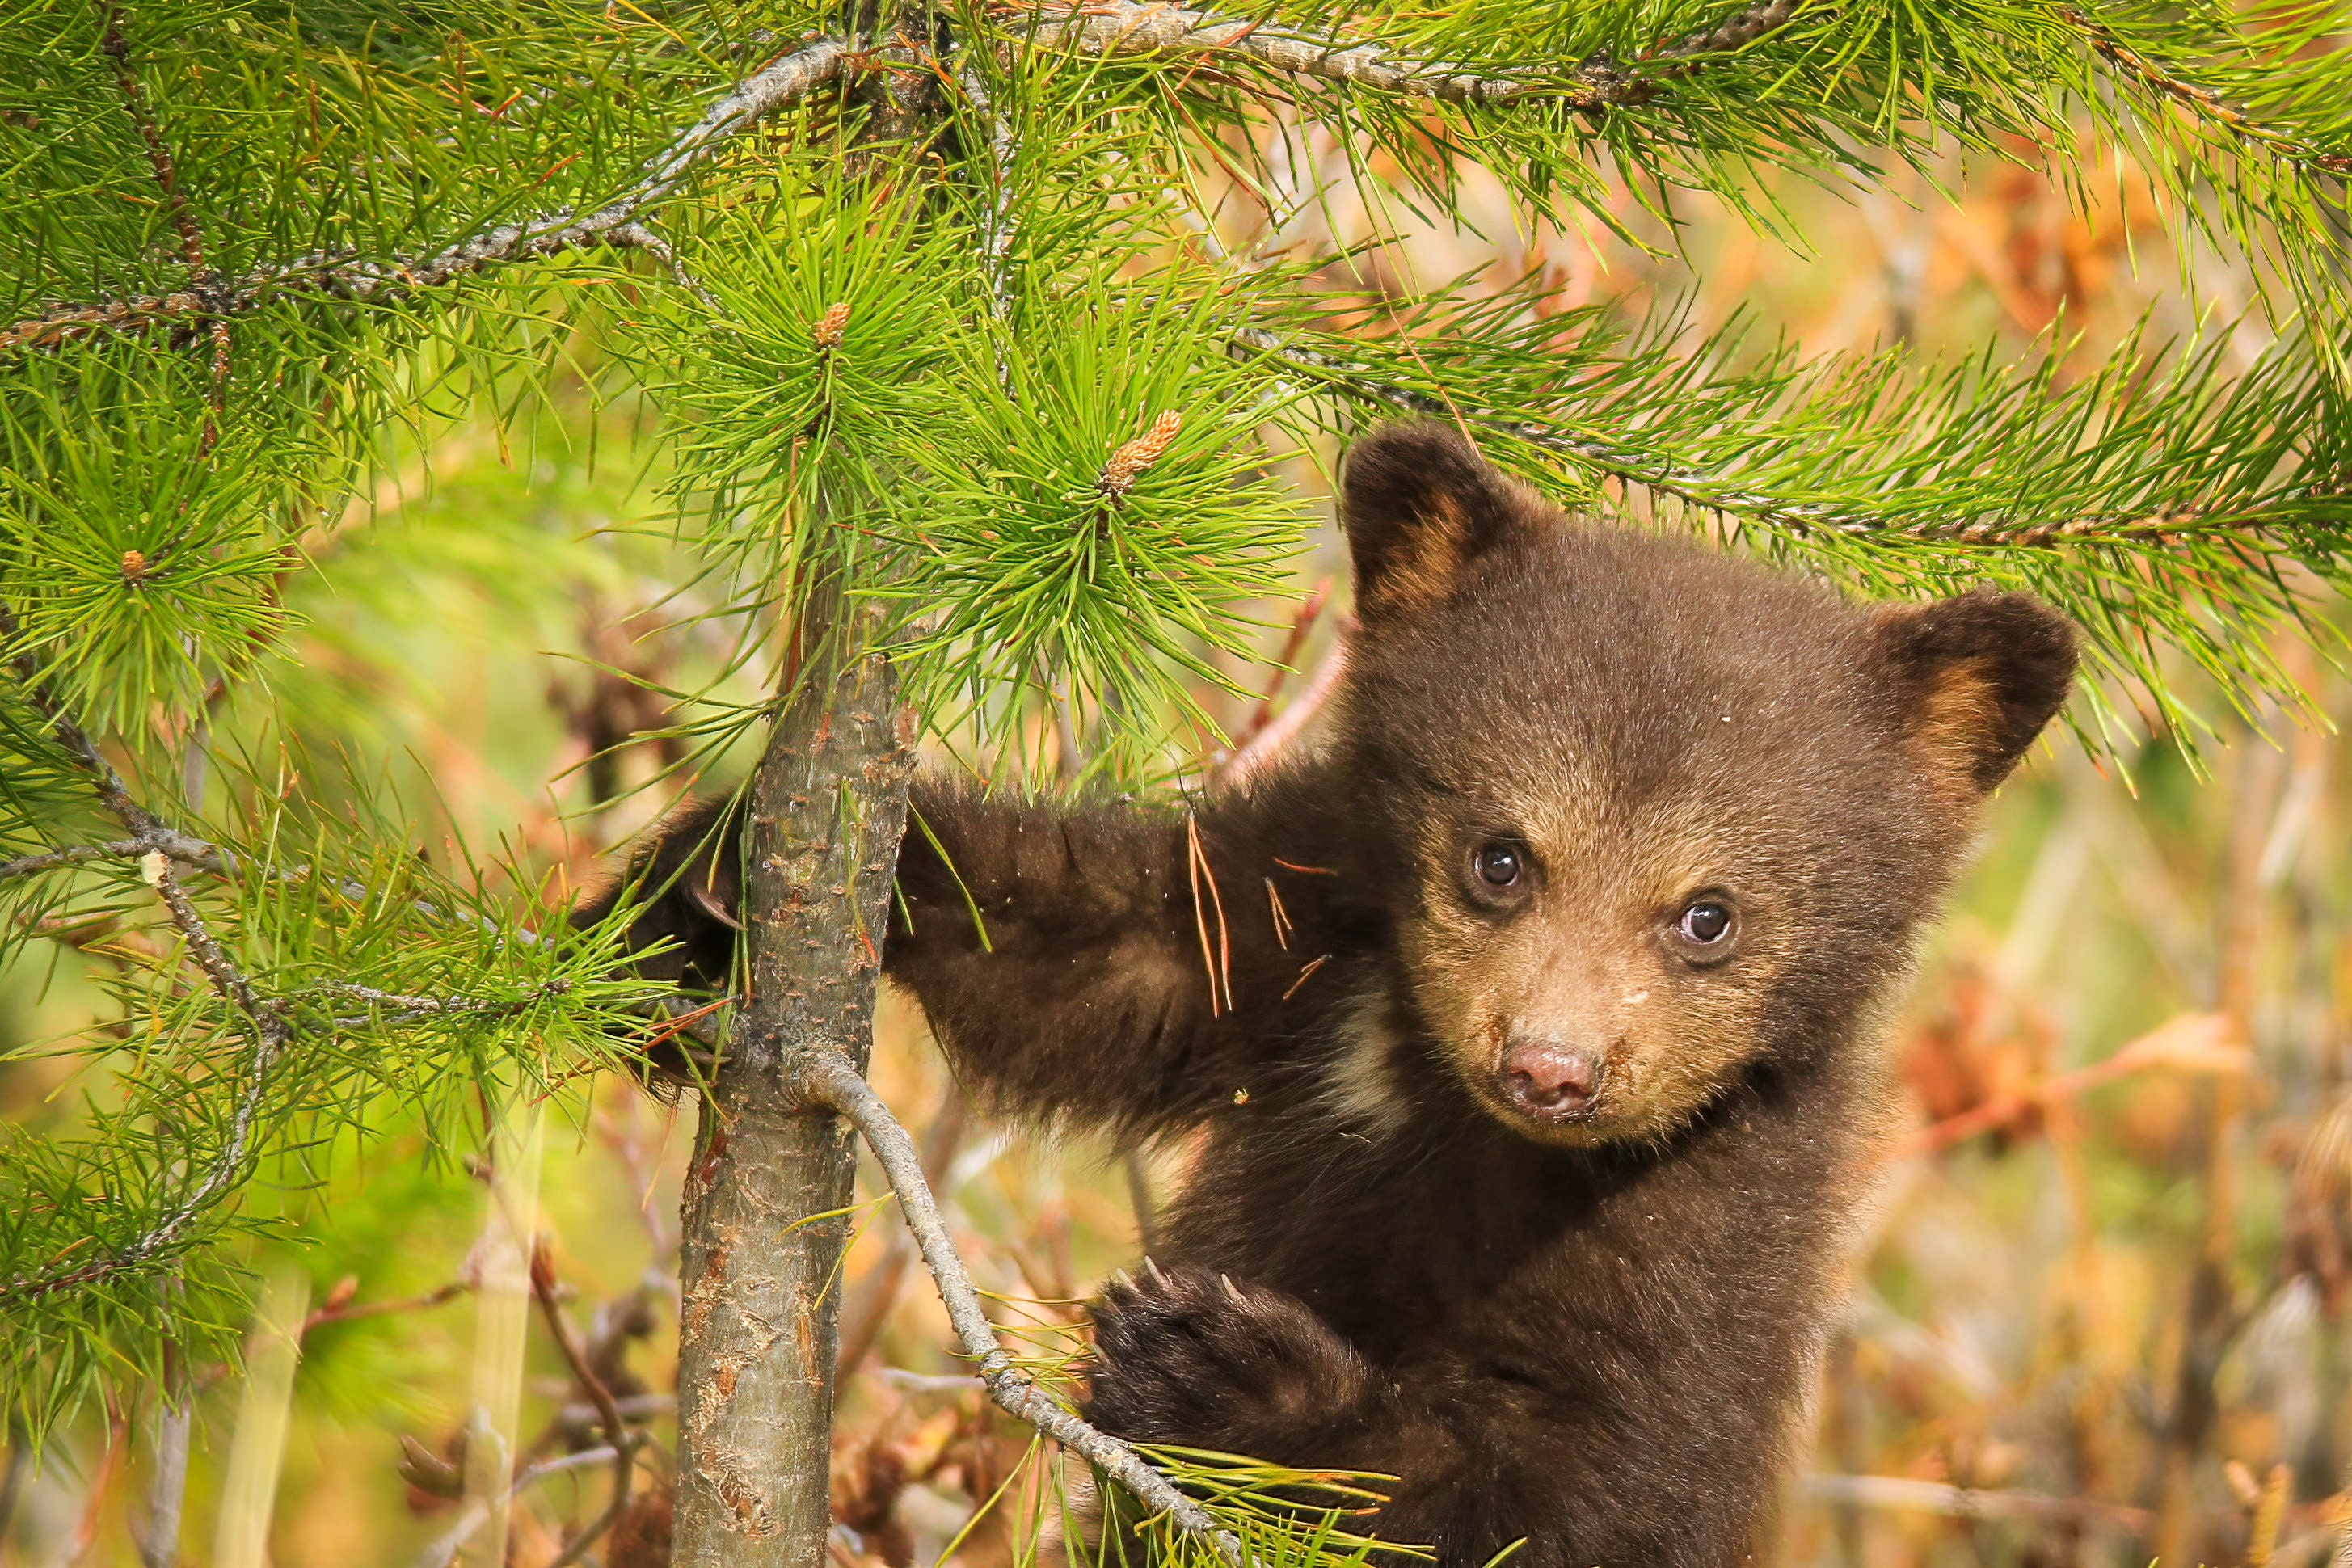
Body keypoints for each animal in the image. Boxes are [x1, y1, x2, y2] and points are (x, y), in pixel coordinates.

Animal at [579, 422, 2079, 1568]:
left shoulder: (1708, 1252)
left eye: (1708, 915)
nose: (1549, 1068)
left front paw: (1228, 1370)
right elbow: (1110, 948)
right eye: (1498, 856)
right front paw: (691, 890)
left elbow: (1567, 1496)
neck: (1468, 1133)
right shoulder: (1302, 918)